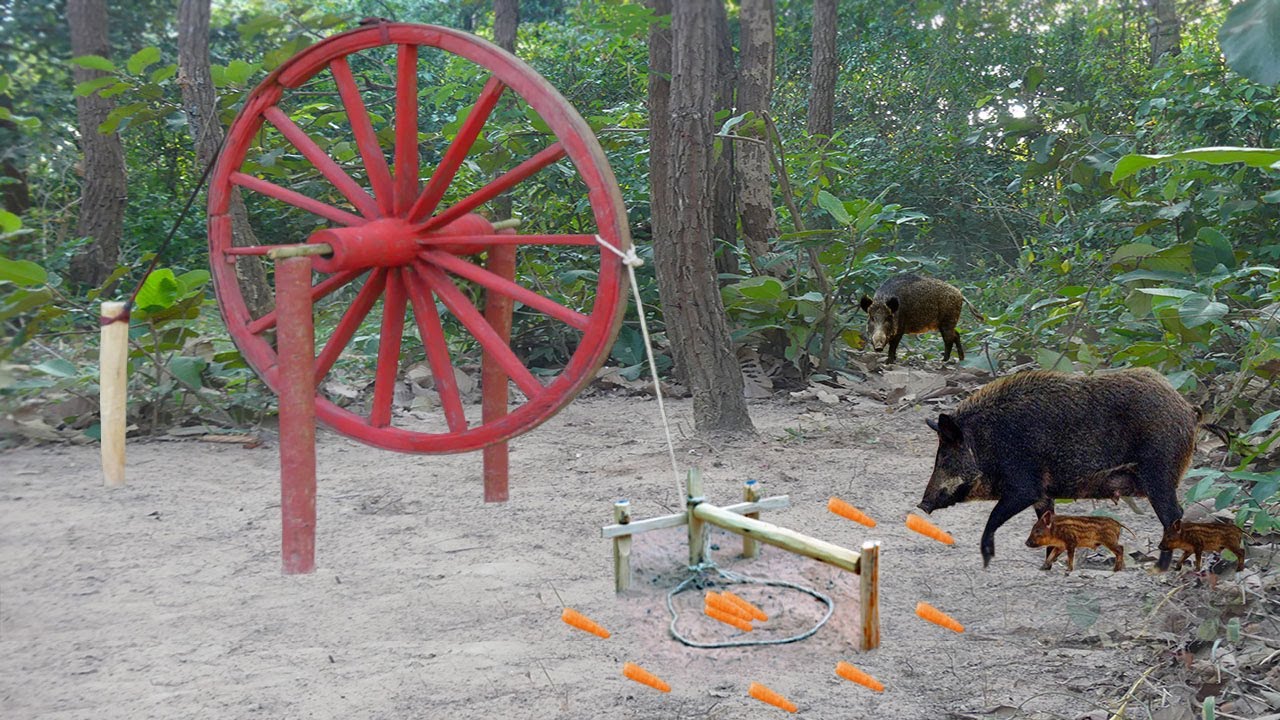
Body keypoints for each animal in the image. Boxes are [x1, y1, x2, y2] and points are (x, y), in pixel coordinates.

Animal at [918, 368, 1203, 570]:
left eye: (945, 457)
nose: (922, 505)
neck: (989, 442)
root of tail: (1188, 409)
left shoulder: (1025, 486)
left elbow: (994, 517)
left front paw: (987, 560)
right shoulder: (1044, 493)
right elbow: (1047, 522)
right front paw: (1046, 566)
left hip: (1159, 471)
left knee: (1174, 514)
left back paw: (1160, 568)